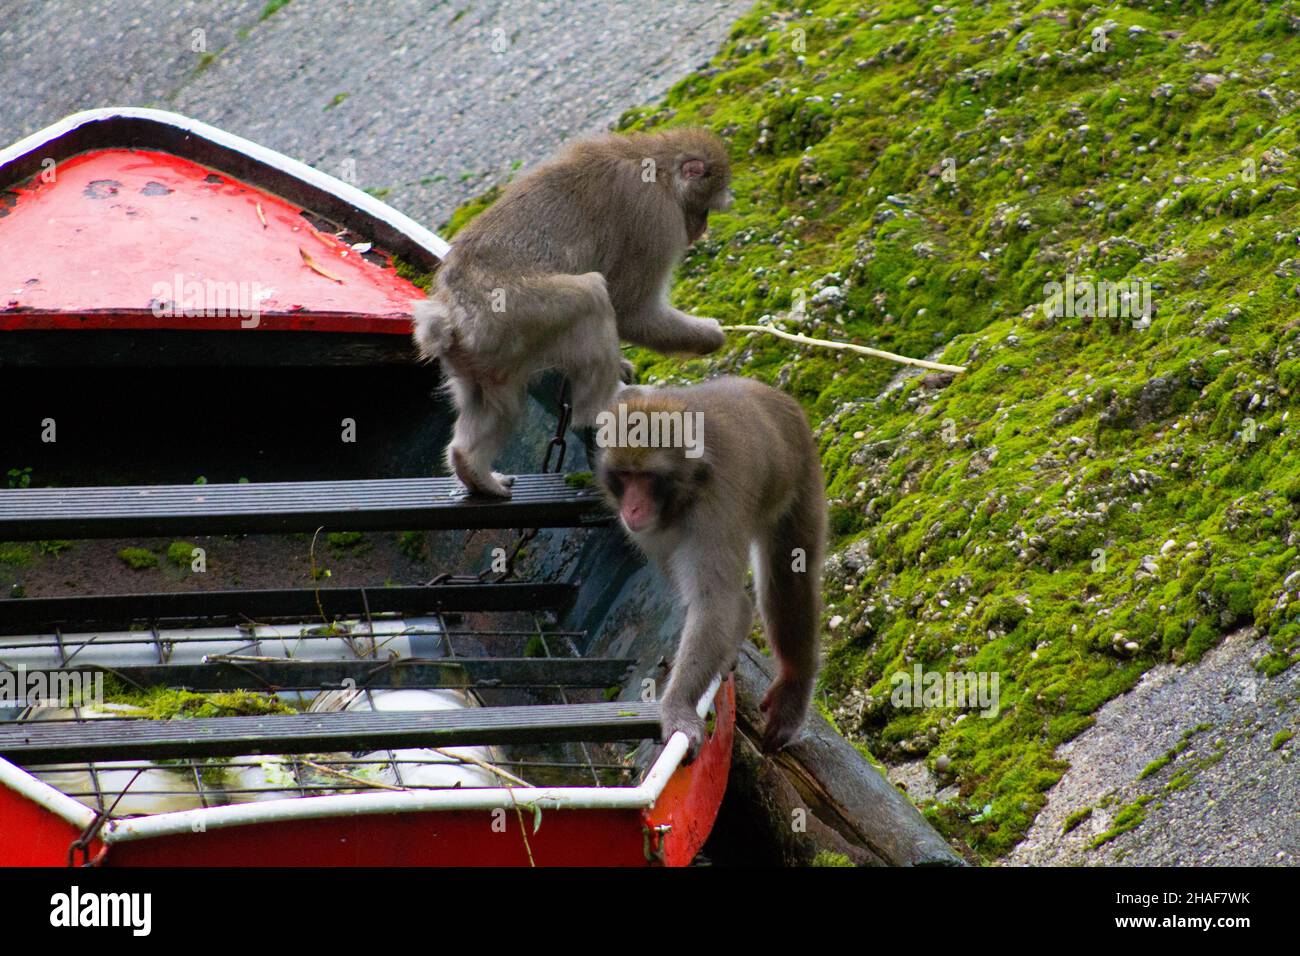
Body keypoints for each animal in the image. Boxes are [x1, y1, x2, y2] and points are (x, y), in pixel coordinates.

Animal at [412, 127, 733, 498]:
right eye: (705, 208)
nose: (700, 229)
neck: (657, 165)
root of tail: (448, 316)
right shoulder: (656, 217)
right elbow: (633, 311)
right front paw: (711, 335)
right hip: (515, 314)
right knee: (590, 297)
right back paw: (604, 403)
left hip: (483, 354)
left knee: (496, 403)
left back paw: (472, 468)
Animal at [594, 376, 827, 758]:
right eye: (625, 476)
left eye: (647, 477)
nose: (632, 509)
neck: (687, 490)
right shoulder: (648, 531)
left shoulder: (716, 508)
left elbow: (712, 602)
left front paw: (677, 707)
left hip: (801, 475)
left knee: (790, 576)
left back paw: (795, 681)